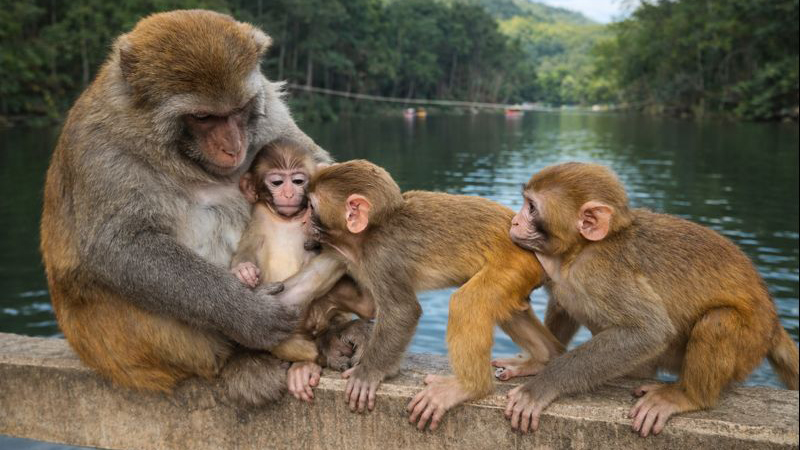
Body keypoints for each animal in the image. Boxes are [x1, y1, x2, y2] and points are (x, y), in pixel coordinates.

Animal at [229, 139, 375, 401]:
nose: (288, 194)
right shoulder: (257, 218)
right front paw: (244, 270)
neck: (286, 219)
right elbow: (247, 247)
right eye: (277, 182)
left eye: (298, 181)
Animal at [302, 159, 564, 431]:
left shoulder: (381, 257)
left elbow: (403, 311)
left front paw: (369, 373)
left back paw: (469, 387)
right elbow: (367, 305)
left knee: (467, 303)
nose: (302, 220)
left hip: (514, 264)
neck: (372, 231)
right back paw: (543, 358)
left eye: (311, 207)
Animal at [502, 162, 799, 436]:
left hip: (751, 342)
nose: (514, 222)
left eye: (531, 208)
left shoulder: (601, 272)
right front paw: (537, 360)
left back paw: (688, 396)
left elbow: (648, 331)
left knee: (719, 320)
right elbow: (562, 307)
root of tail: (773, 323)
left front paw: (542, 385)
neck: (579, 251)